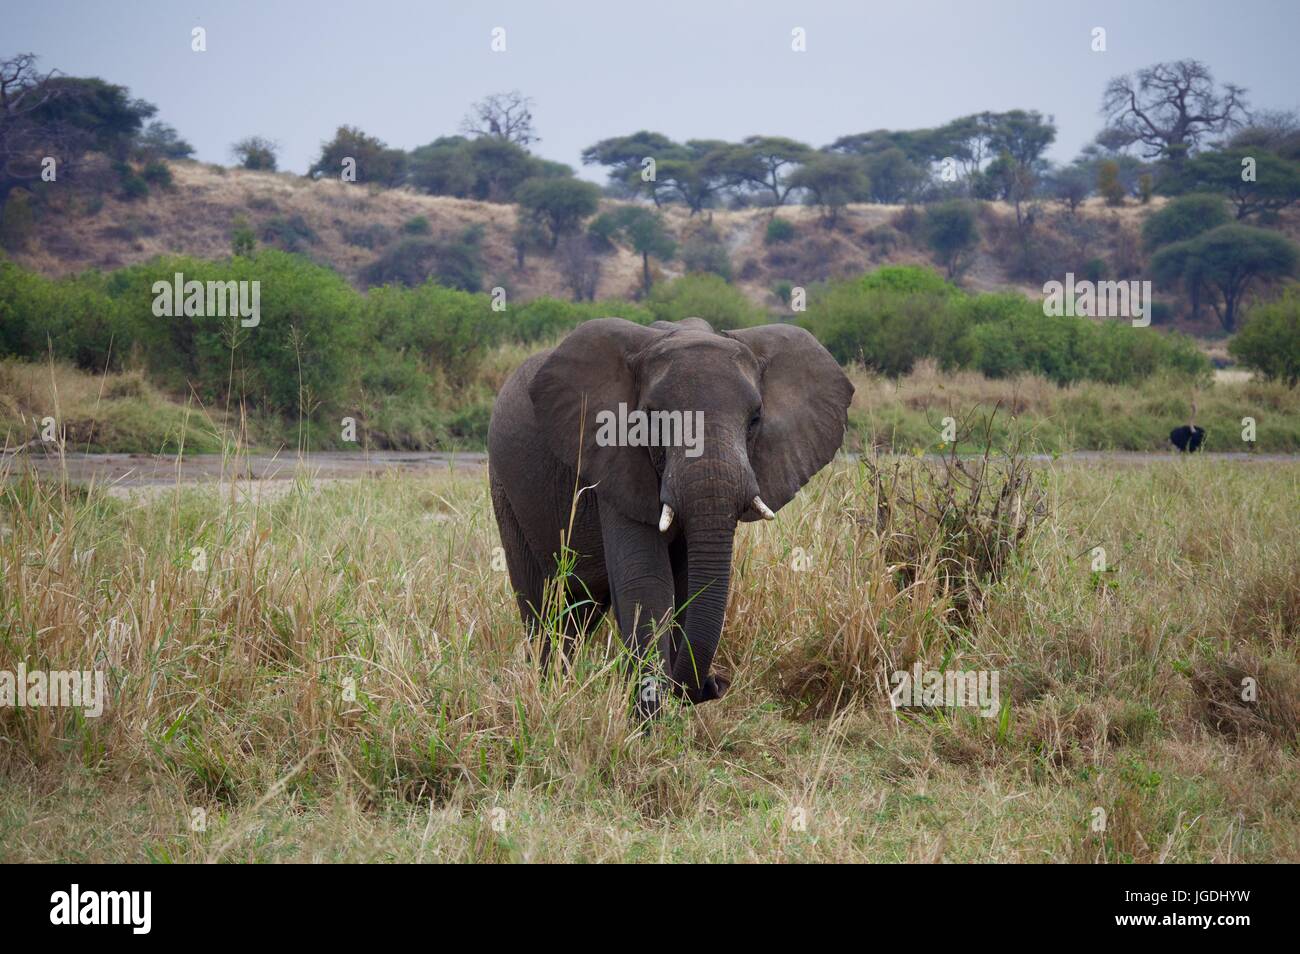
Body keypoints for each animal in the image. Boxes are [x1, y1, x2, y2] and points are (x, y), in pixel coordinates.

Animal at [488, 316, 853, 718]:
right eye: (653, 419)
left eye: (756, 419)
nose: (716, 683)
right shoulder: (614, 459)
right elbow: (647, 582)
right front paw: (647, 720)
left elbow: (686, 582)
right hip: (504, 487)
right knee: (542, 603)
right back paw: (551, 691)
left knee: (579, 609)